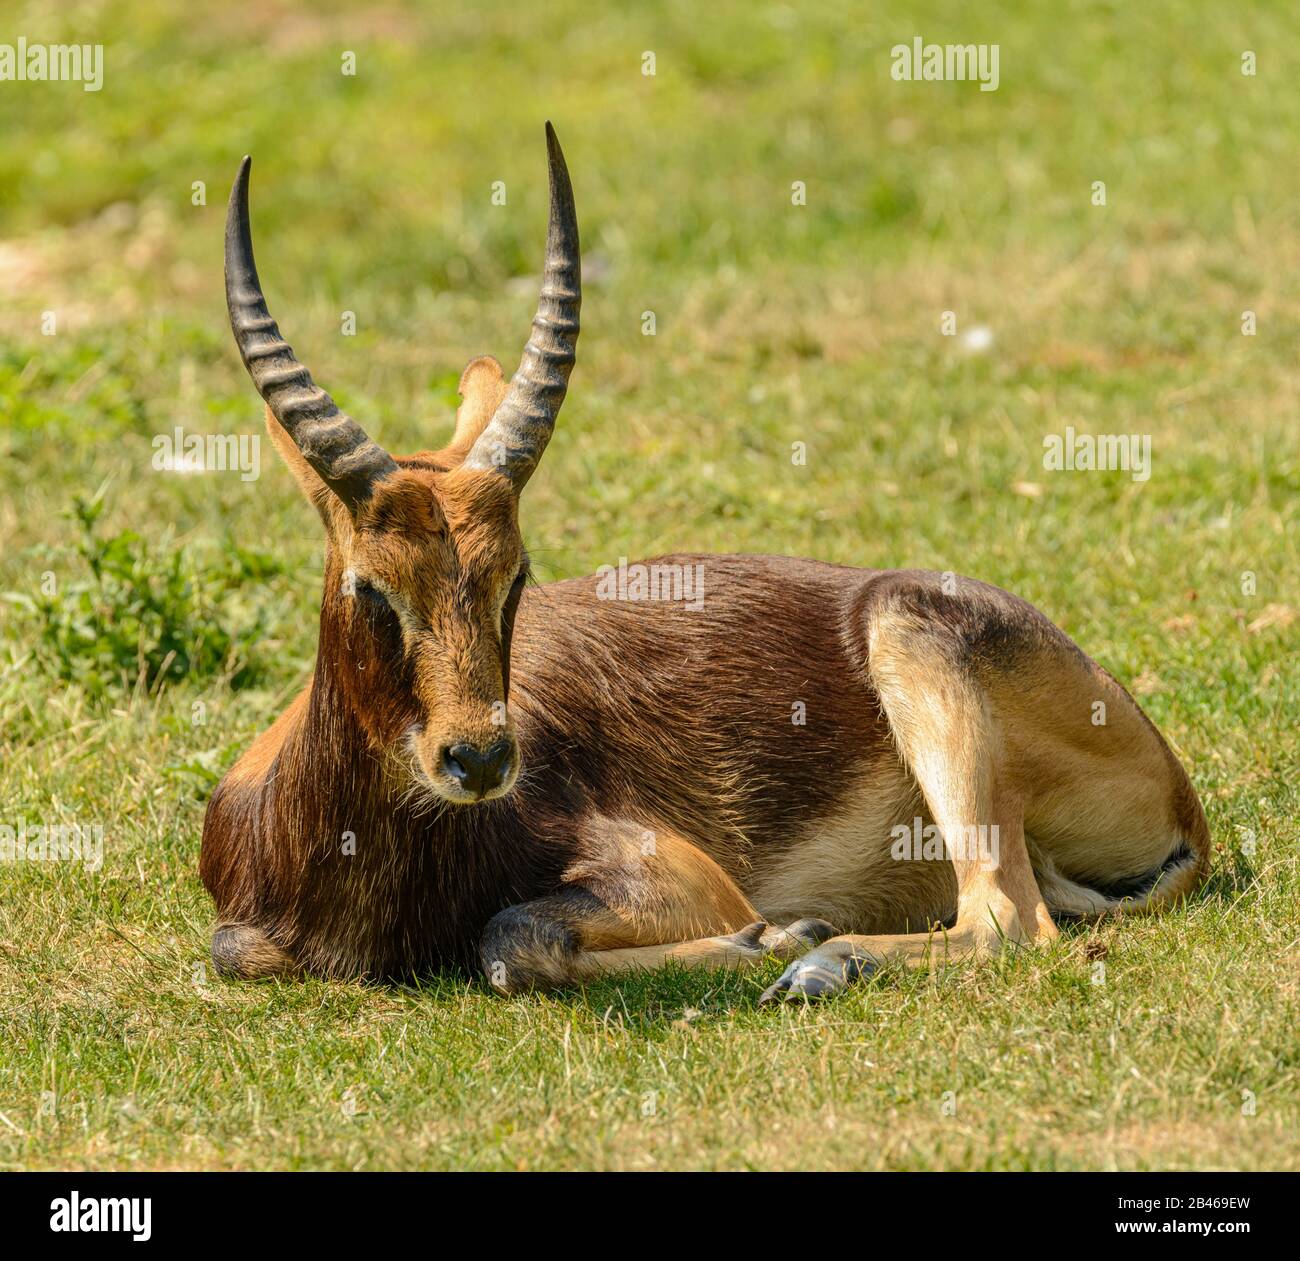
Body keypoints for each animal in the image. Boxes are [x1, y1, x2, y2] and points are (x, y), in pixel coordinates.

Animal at [201, 124, 1210, 1002]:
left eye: (513, 578)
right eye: (372, 585)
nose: (480, 758)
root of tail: (1178, 791)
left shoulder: (685, 879)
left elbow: (510, 936)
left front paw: (778, 933)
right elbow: (239, 948)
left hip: (912, 647)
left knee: (1004, 917)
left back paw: (816, 959)